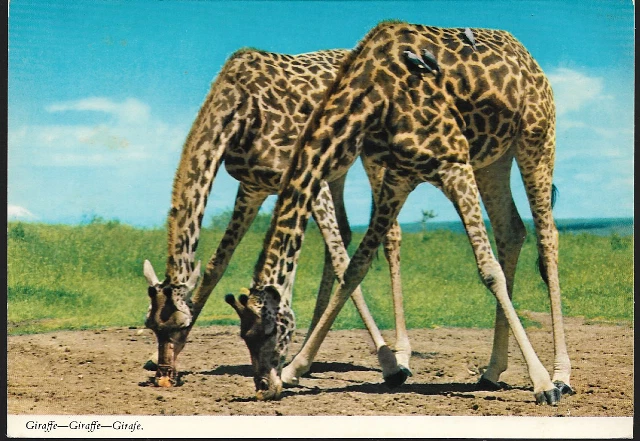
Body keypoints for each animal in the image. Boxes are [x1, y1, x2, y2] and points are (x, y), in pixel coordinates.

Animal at [142, 48, 412, 389]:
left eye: (179, 324)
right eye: (151, 325)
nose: (165, 375)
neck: (240, 111)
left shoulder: (305, 179)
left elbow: (343, 263)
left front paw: (388, 363)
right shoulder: (253, 188)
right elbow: (217, 264)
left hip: (373, 156)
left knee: (389, 235)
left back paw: (402, 353)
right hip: (338, 170)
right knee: (347, 232)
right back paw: (305, 358)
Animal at [227, 21, 574, 405]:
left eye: (267, 330)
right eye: (243, 335)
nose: (263, 384)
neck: (373, 96)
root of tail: (529, 59)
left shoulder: (453, 164)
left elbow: (488, 271)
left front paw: (542, 384)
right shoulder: (399, 176)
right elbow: (355, 268)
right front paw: (294, 370)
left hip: (536, 138)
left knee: (547, 238)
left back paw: (561, 376)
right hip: (492, 160)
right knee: (511, 231)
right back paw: (492, 371)